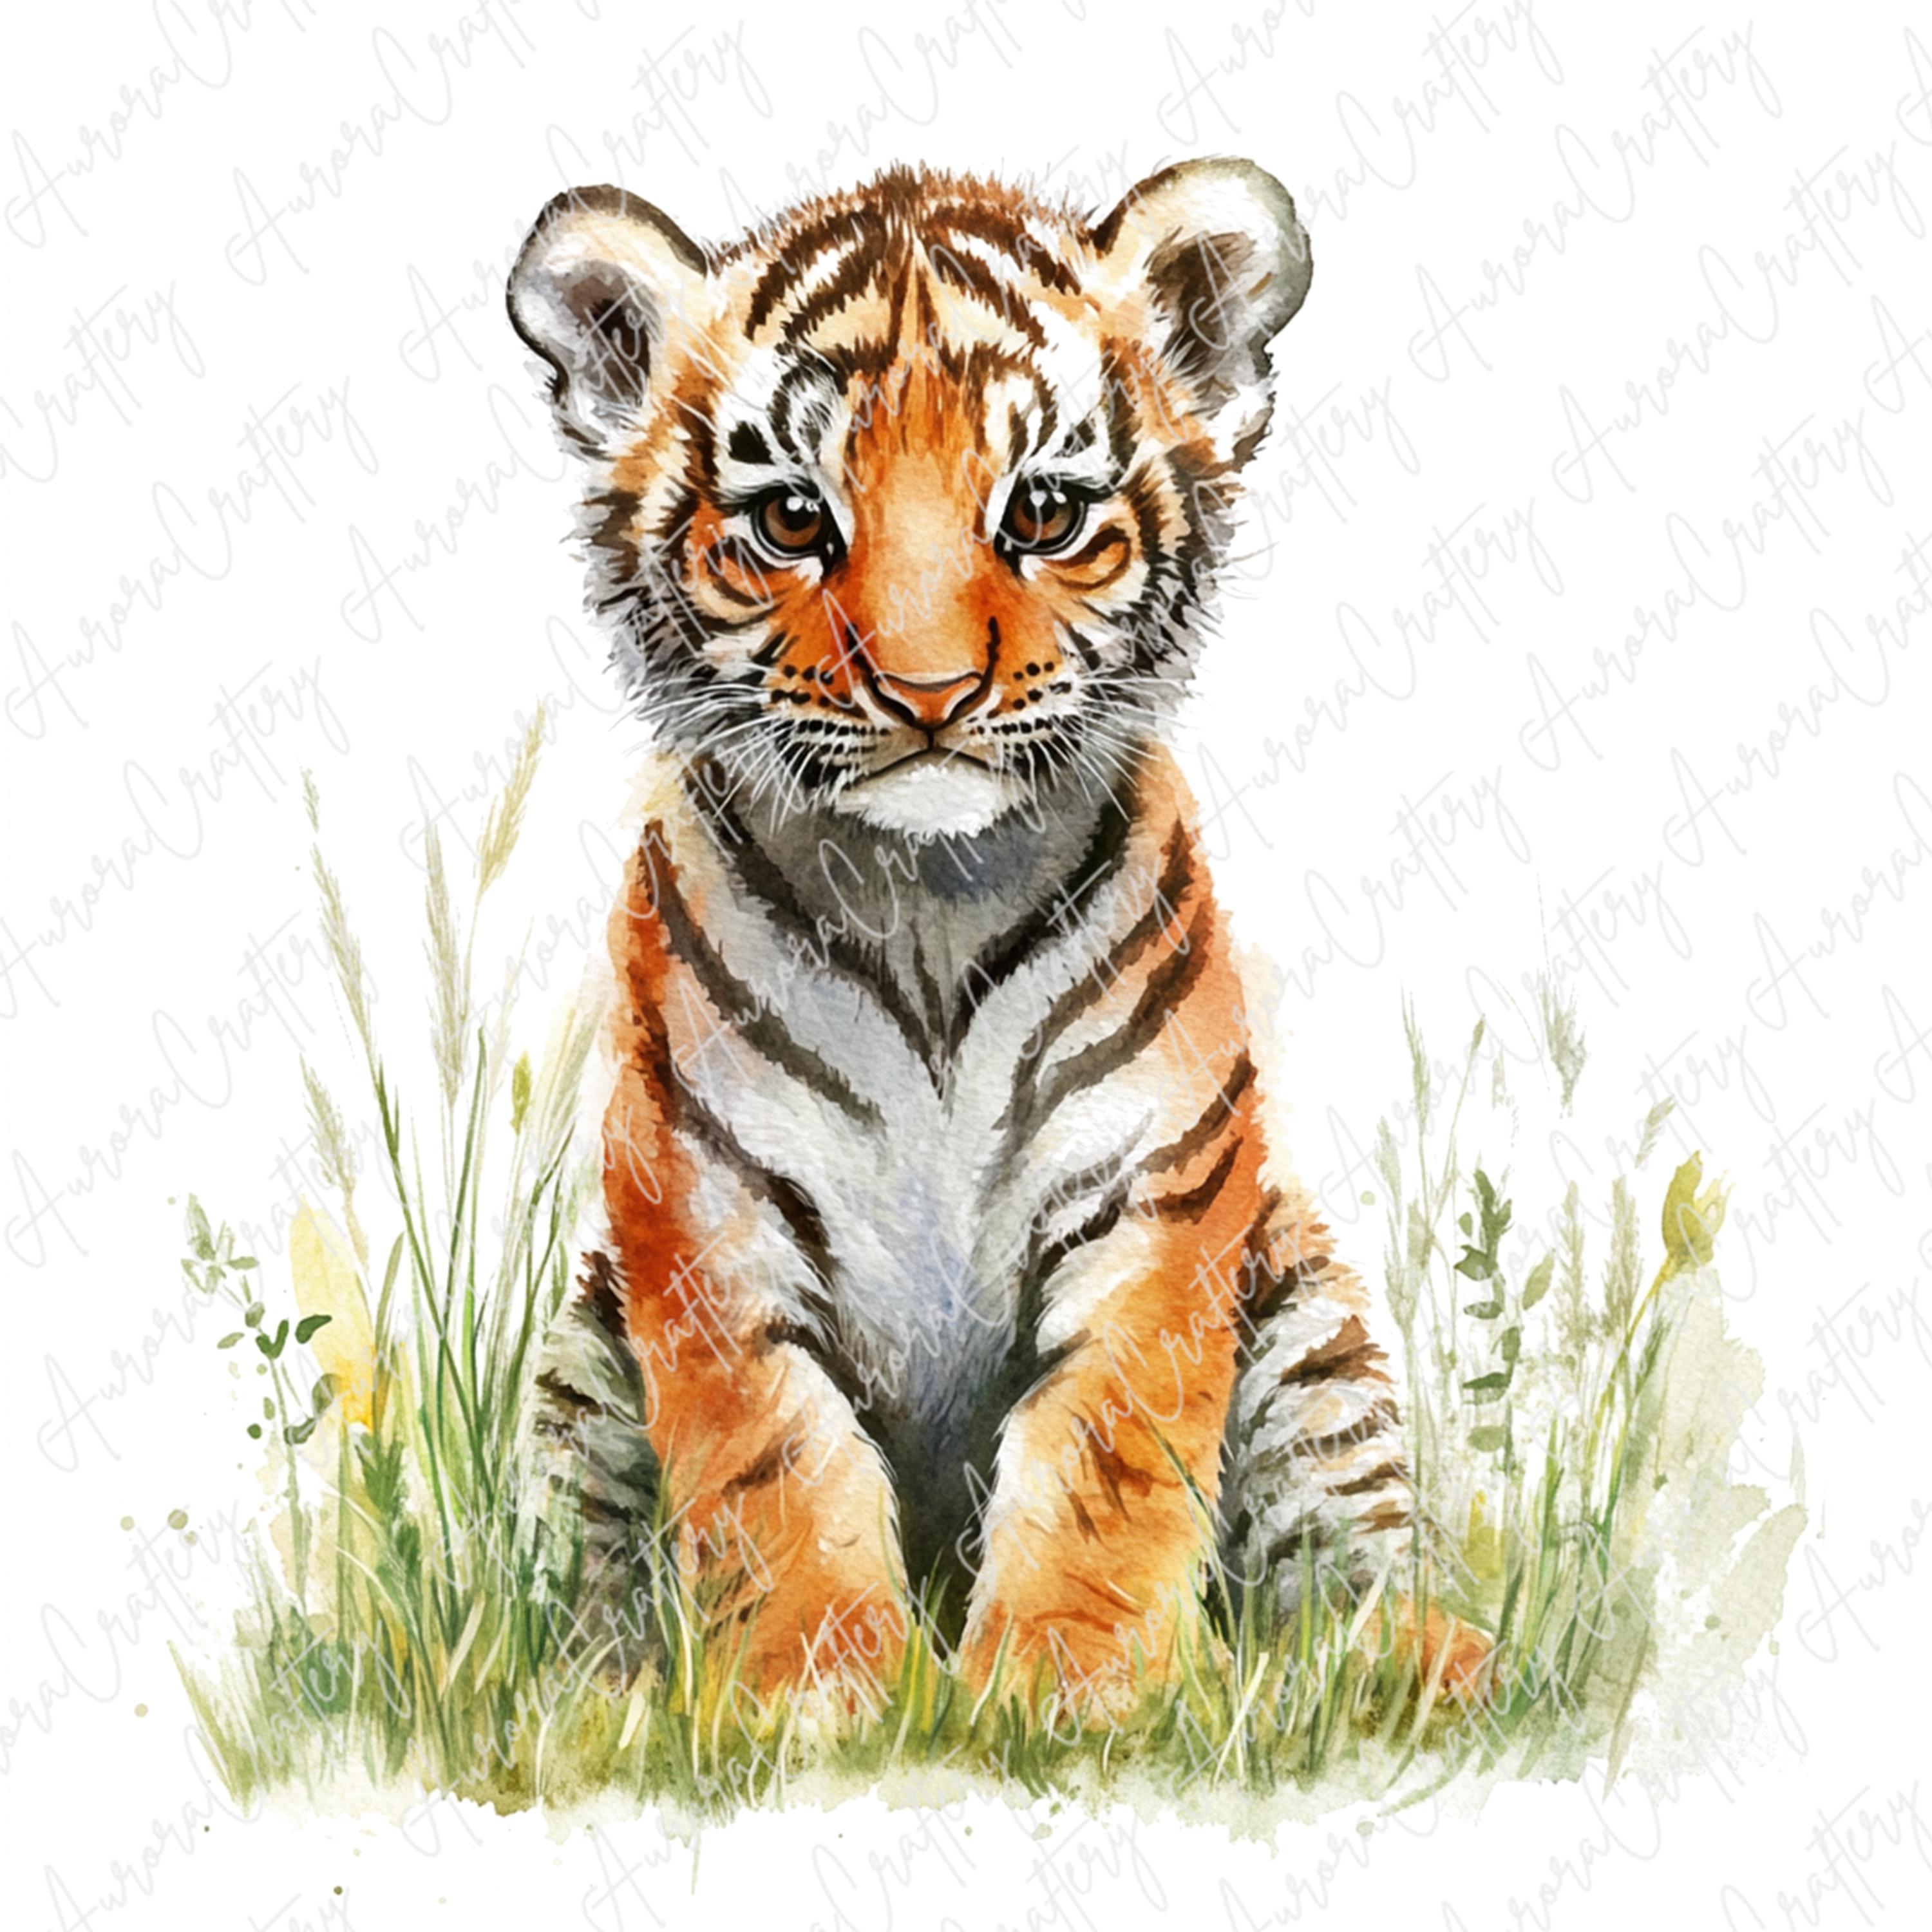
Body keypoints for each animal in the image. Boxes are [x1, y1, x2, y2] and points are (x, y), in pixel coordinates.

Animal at [508, 159, 1483, 1710]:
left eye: (1043, 513)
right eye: (794, 520)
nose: (927, 694)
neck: (928, 899)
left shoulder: (1159, 1192)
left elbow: (1107, 1454)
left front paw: (1069, 1691)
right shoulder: (707, 1214)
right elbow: (773, 1464)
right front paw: (815, 1692)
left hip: (1307, 1318)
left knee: (1338, 1567)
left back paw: (1418, 1661)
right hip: (582, 1363)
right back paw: (597, 1689)